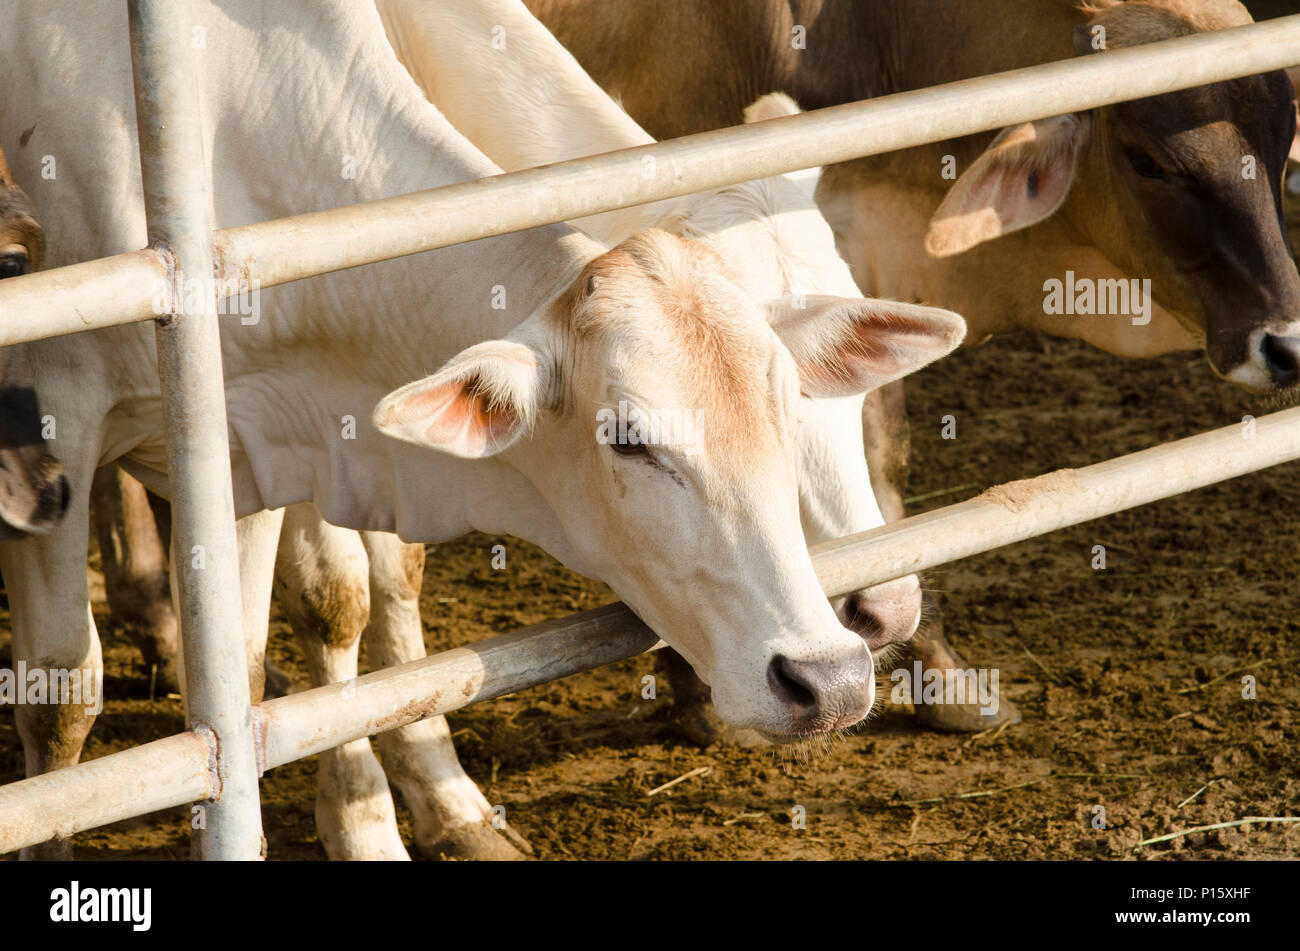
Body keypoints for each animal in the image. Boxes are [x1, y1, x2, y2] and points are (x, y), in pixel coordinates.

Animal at [0, 0, 962, 859]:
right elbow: (65, 690)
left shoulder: (258, 445)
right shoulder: (61, 427)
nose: (831, 672)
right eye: (629, 436)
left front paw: (418, 808)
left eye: (790, 390)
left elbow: (313, 621)